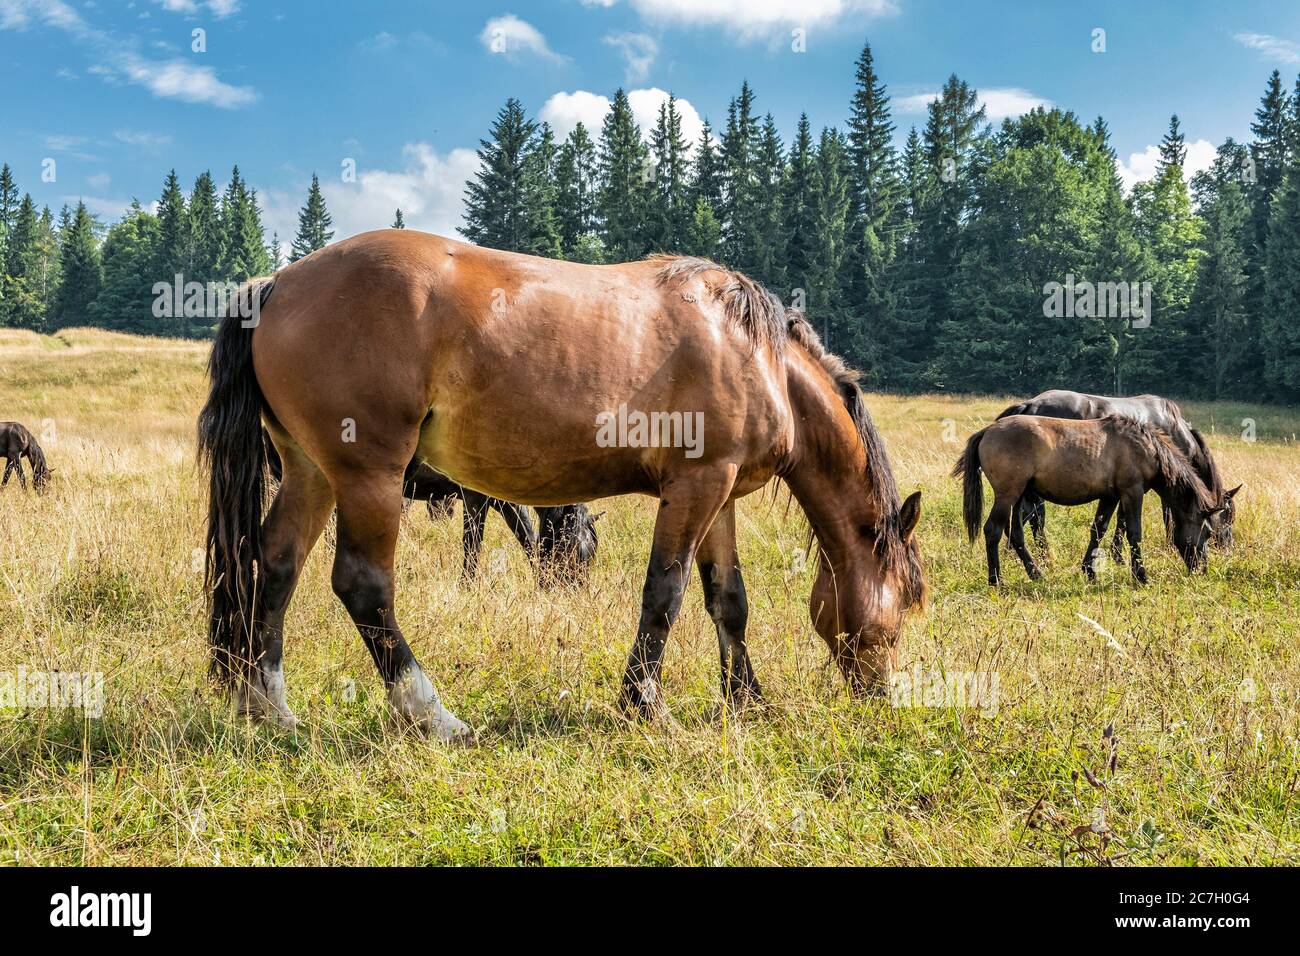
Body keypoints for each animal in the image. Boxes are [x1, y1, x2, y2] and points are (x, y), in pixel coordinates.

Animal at [198, 230, 926, 739]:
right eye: (905, 607)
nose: (881, 698)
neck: (753, 351)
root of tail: (275, 284)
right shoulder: (695, 489)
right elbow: (665, 595)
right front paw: (644, 704)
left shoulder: (718, 495)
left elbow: (729, 601)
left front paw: (747, 699)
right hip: (367, 477)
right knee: (363, 586)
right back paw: (432, 715)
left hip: (310, 471)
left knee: (275, 564)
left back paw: (268, 705)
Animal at [953, 415, 1224, 586]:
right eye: (1208, 532)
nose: (1202, 569)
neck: (1147, 448)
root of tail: (987, 430)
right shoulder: (1132, 492)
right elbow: (1134, 533)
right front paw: (1141, 576)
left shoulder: (1110, 496)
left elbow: (1098, 530)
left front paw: (1089, 572)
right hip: (1008, 495)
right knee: (993, 530)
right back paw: (996, 580)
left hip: (1019, 496)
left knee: (1016, 535)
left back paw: (1036, 574)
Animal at [996, 390, 1239, 555]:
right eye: (1227, 516)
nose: (1227, 547)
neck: (1174, 429)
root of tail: (1029, 404)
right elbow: (1161, 515)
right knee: (1035, 515)